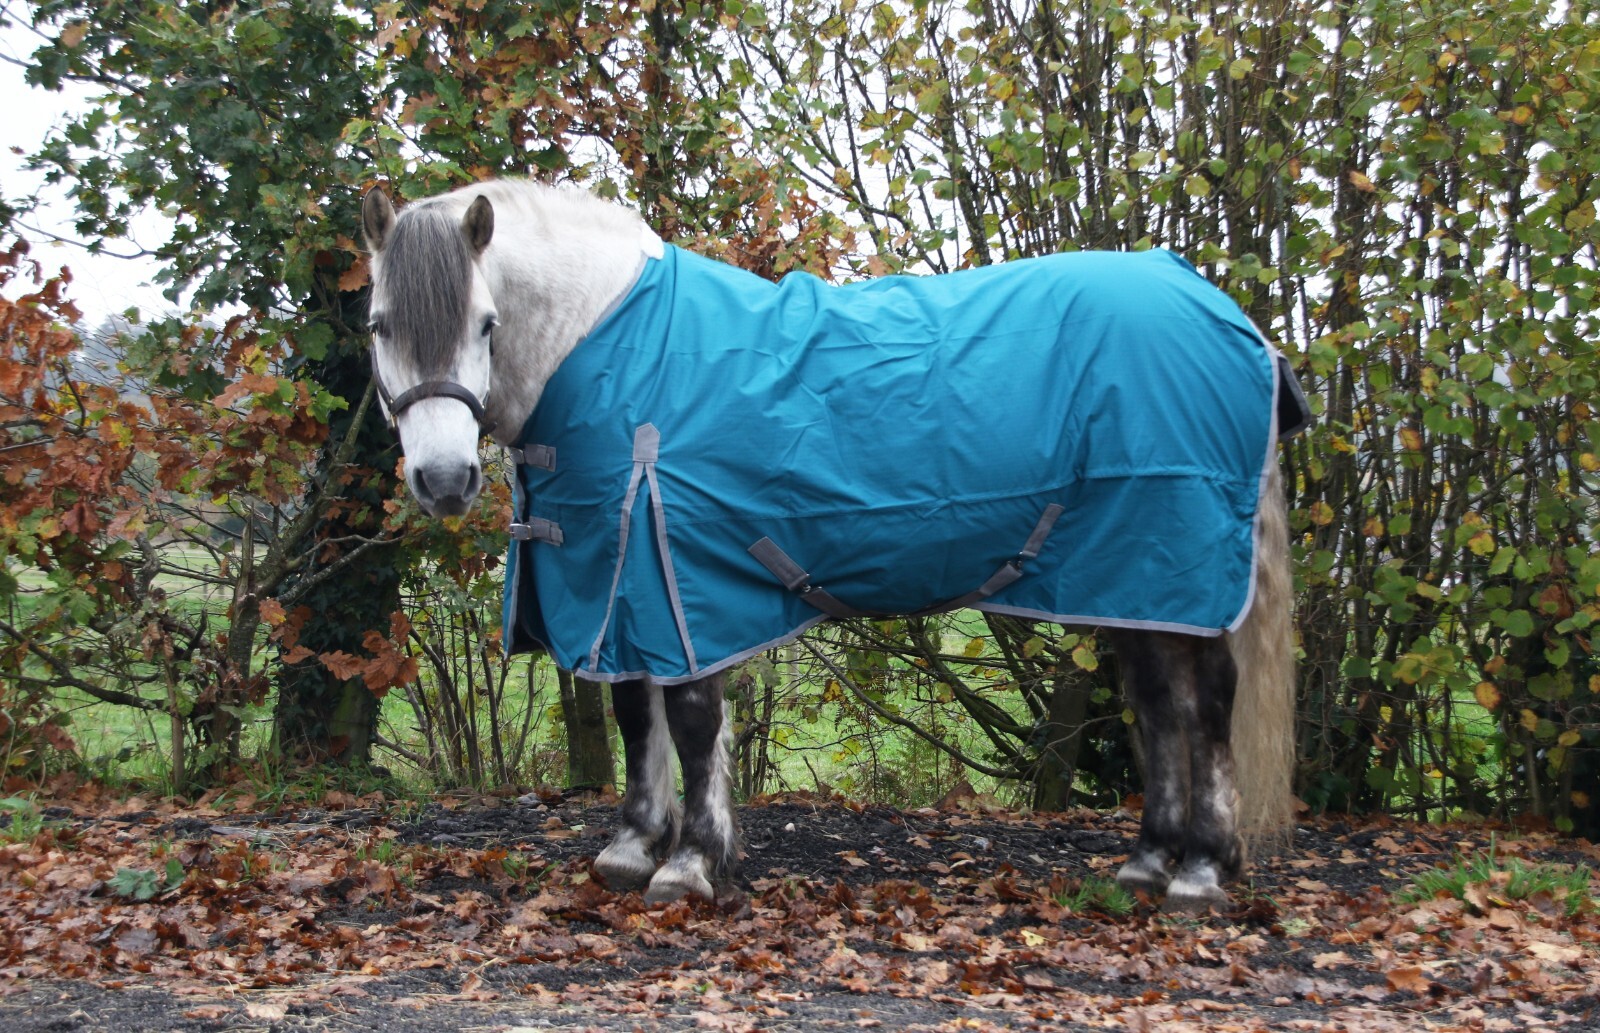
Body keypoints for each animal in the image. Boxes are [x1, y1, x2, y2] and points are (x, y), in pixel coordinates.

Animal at [360, 178, 1303, 910]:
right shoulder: (615, 575)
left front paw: (690, 862)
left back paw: (1201, 871)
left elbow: (692, 719)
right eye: (377, 325)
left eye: (486, 323)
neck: (613, 347)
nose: (443, 479)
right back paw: (1148, 861)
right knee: (1158, 701)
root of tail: (1230, 317)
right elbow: (636, 711)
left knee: (1207, 704)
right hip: (1135, 580)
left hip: (1183, 568)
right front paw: (634, 845)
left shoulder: (677, 570)